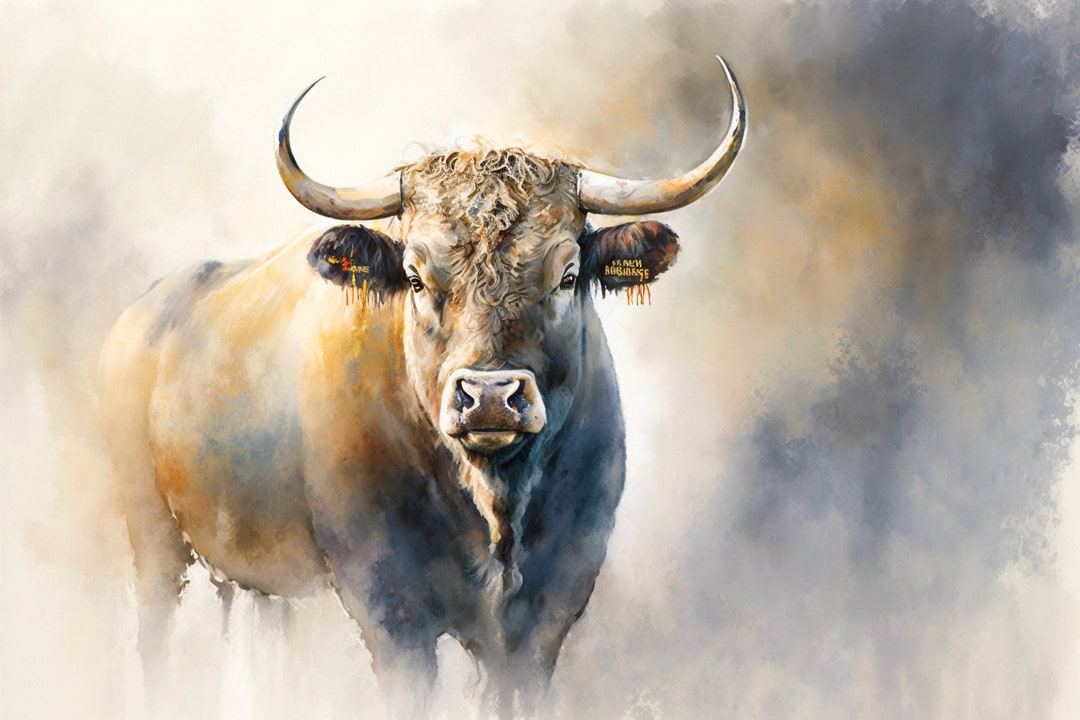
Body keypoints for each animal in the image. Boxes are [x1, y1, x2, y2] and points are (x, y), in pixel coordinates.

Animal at [98, 57, 745, 719]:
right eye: (414, 276)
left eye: (567, 276)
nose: (490, 396)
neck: (494, 508)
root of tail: (148, 311)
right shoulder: (392, 612)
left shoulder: (548, 611)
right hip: (152, 543)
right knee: (155, 638)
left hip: (253, 575)